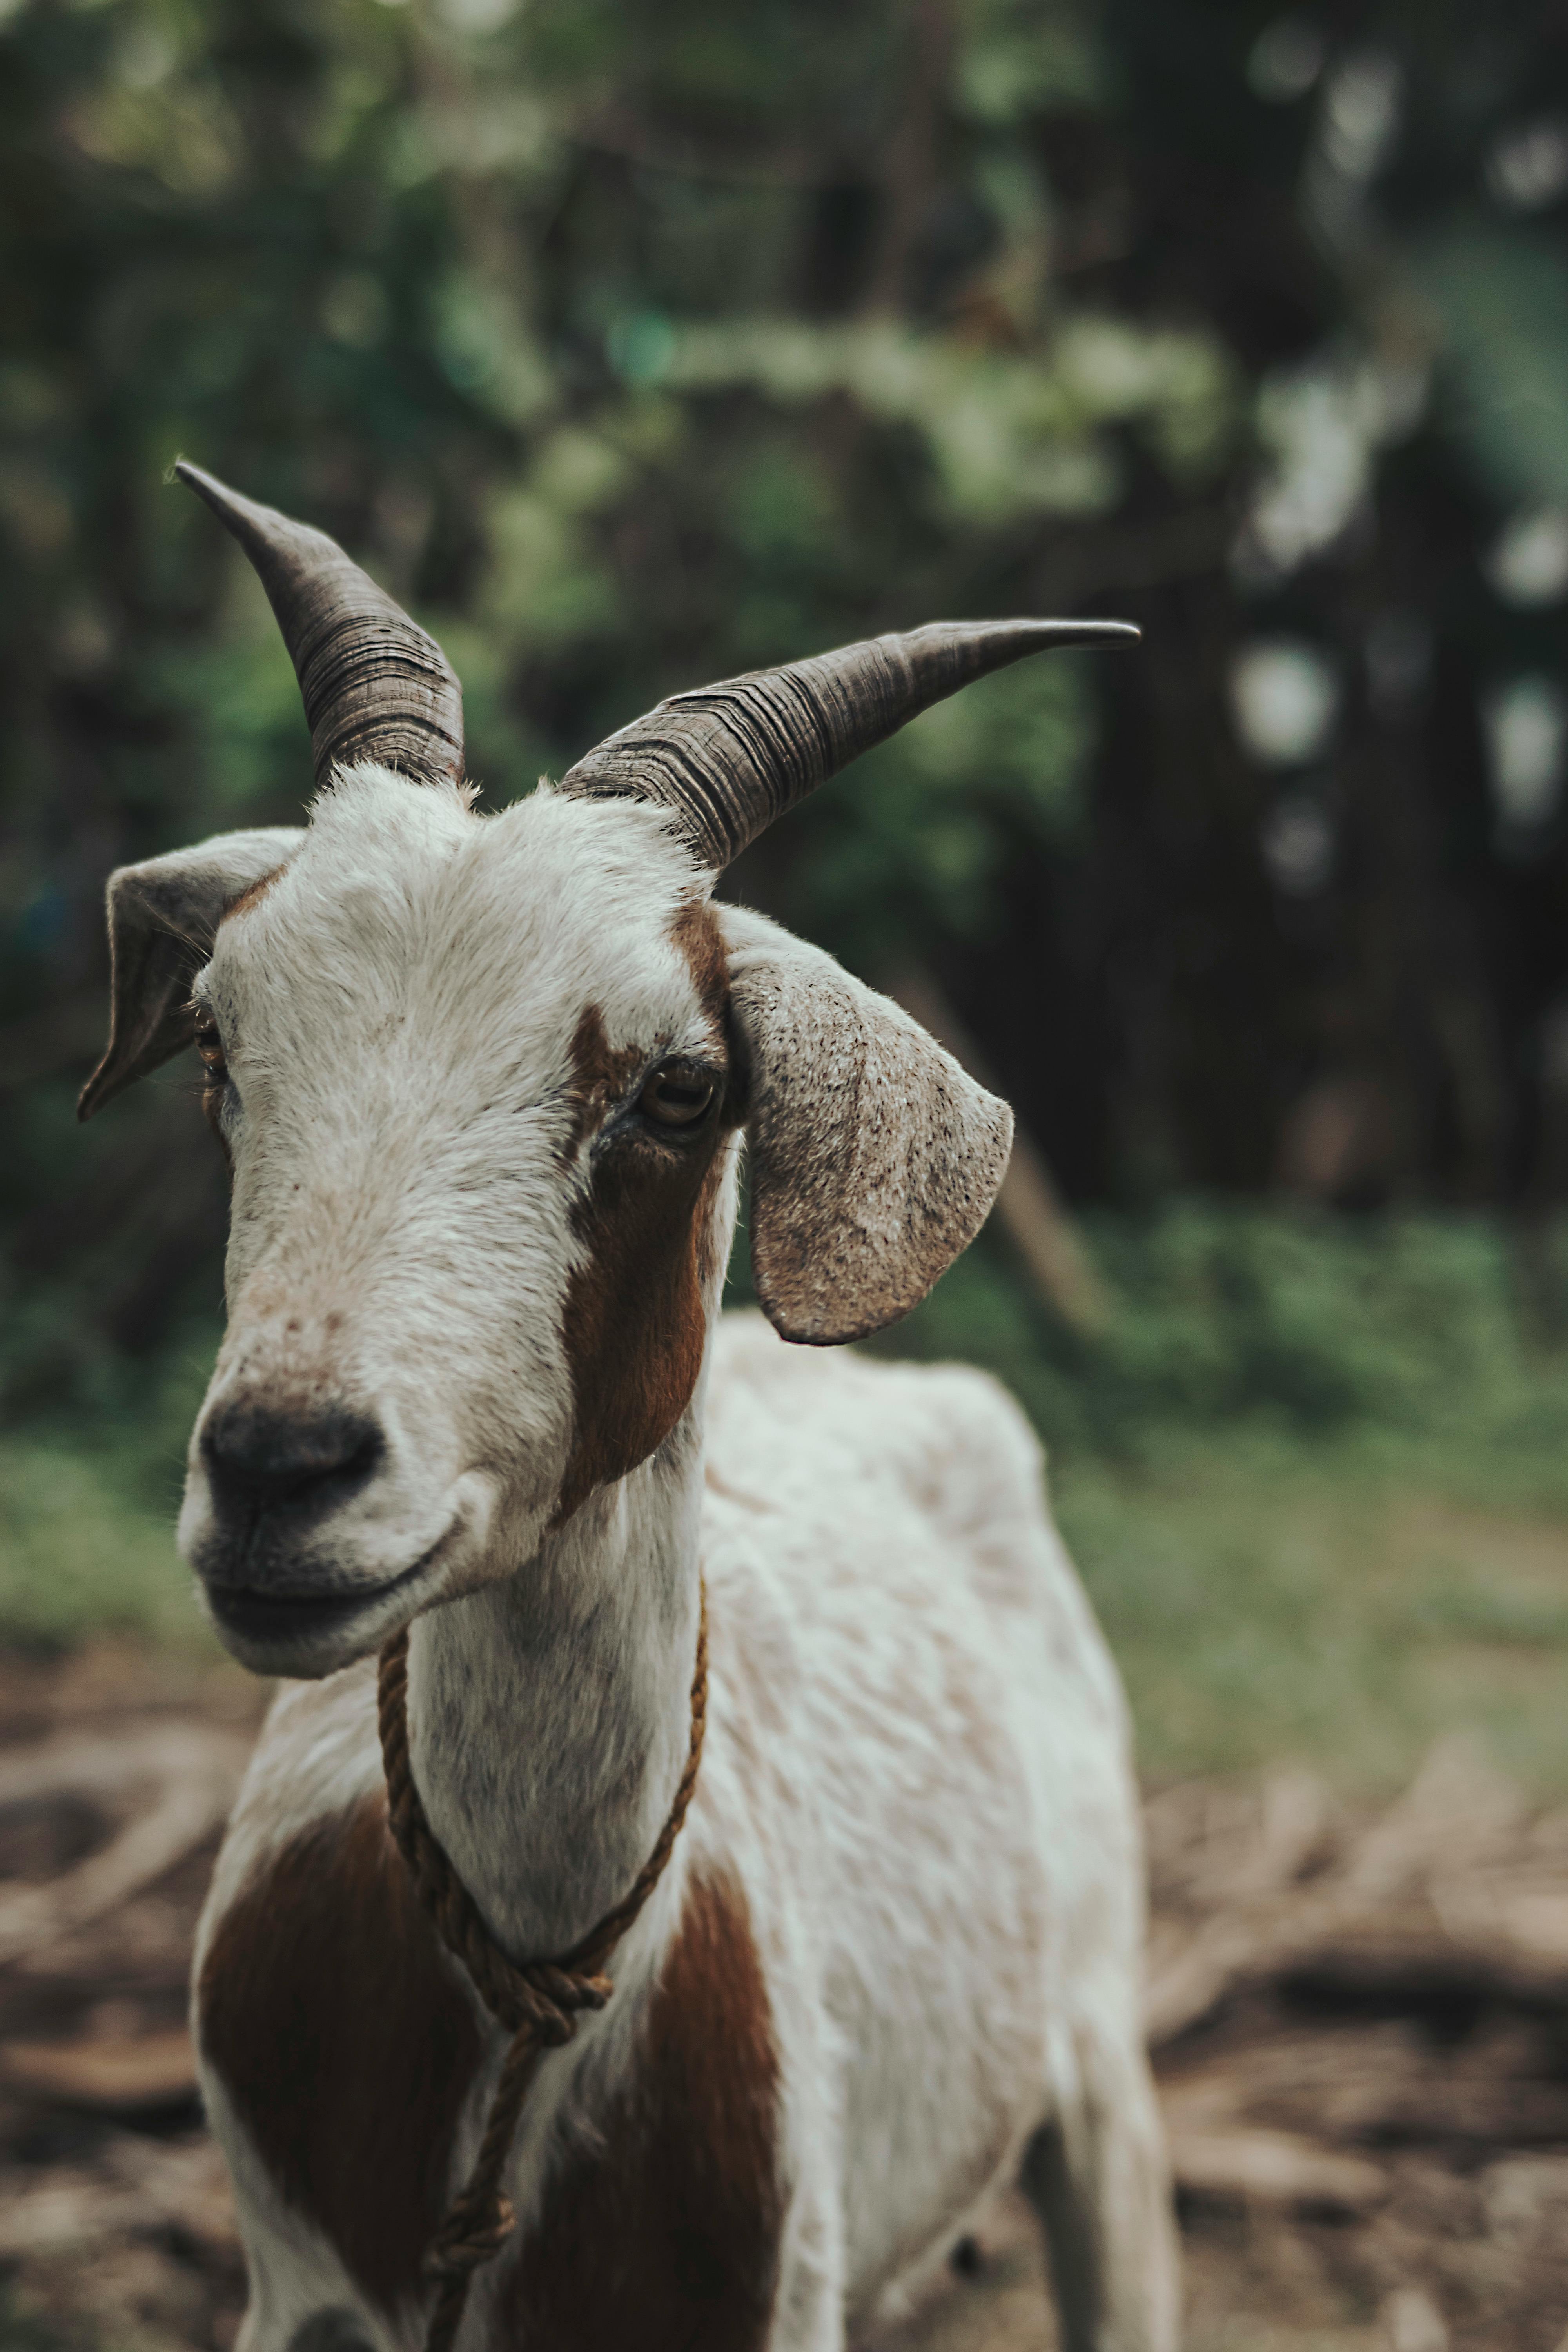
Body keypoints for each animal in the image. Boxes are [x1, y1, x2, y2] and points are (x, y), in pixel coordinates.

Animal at [81, 463, 1179, 2352]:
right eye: (219, 1046)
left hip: (1100, 2064)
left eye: (676, 1086)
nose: (281, 1467)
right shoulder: (293, 2287)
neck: (528, 2000)